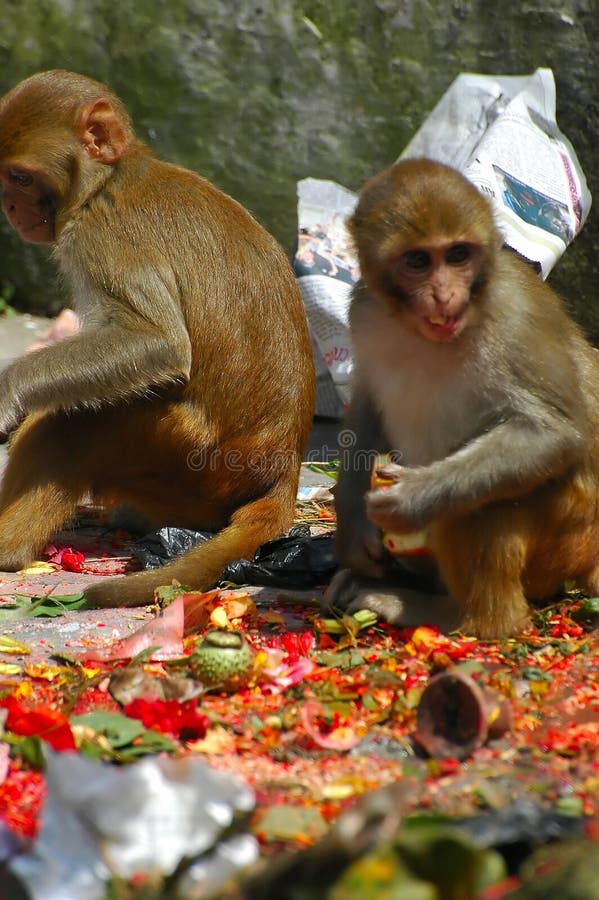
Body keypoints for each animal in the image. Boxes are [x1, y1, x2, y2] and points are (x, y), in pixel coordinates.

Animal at [0, 69, 315, 607]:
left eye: (19, 177)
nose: (8, 206)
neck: (107, 180)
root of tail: (284, 470)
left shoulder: (100, 235)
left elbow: (158, 343)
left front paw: (8, 390)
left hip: (187, 456)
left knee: (71, 424)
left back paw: (5, 548)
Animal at [325, 157, 599, 639]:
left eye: (457, 255)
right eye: (418, 261)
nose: (443, 294)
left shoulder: (514, 316)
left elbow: (555, 434)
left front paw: (412, 496)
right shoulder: (365, 309)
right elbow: (367, 400)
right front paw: (353, 523)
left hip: (568, 534)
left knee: (479, 501)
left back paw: (466, 617)